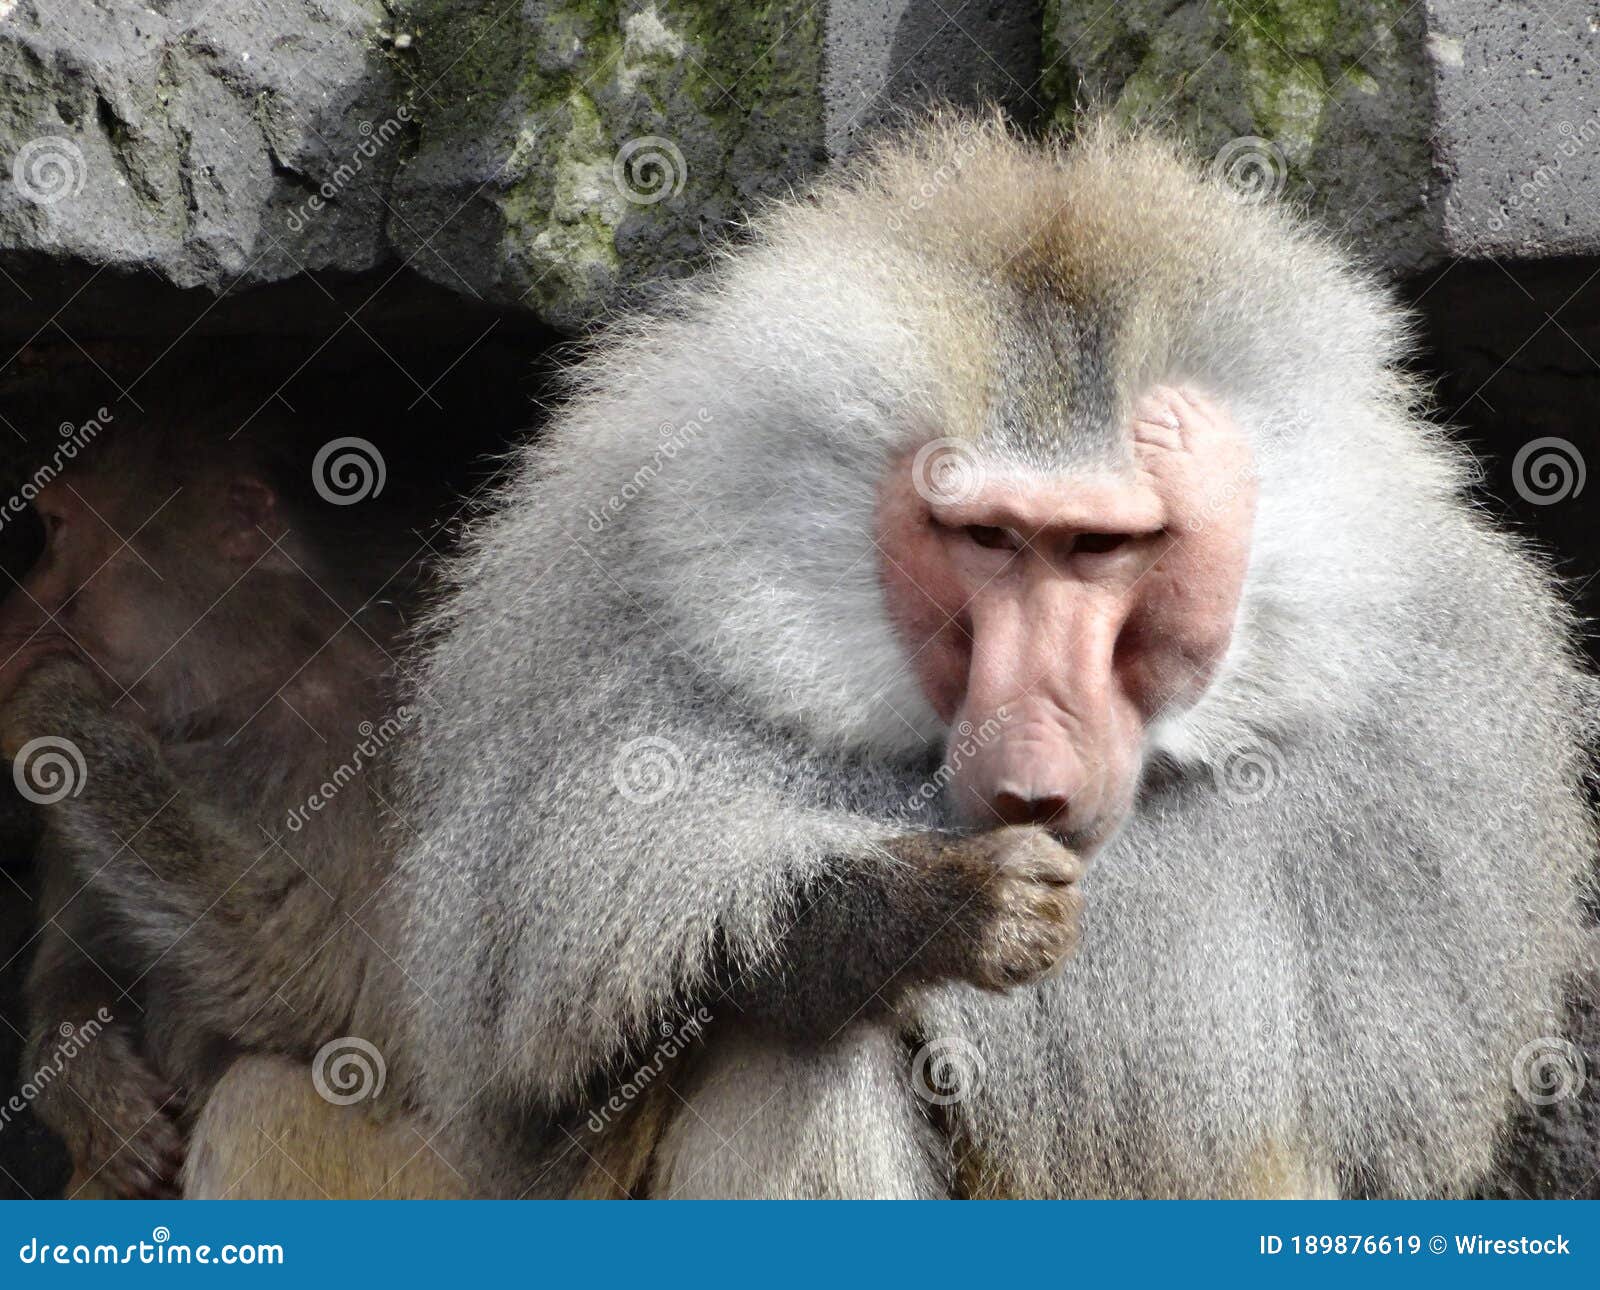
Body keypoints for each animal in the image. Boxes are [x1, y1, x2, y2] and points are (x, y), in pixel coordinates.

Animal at [0, 410, 464, 1198]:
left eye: (58, 529)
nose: (8, 617)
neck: (255, 674)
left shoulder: (378, 729)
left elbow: (346, 1001)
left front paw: (49, 705)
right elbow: (82, 957)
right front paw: (81, 1075)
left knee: (261, 1094)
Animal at [392, 114, 1599, 1199]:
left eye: (1099, 545)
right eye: (985, 537)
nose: (1032, 766)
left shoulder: (1441, 710)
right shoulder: (602, 622)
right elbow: (565, 1075)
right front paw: (913, 914)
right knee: (801, 1047)